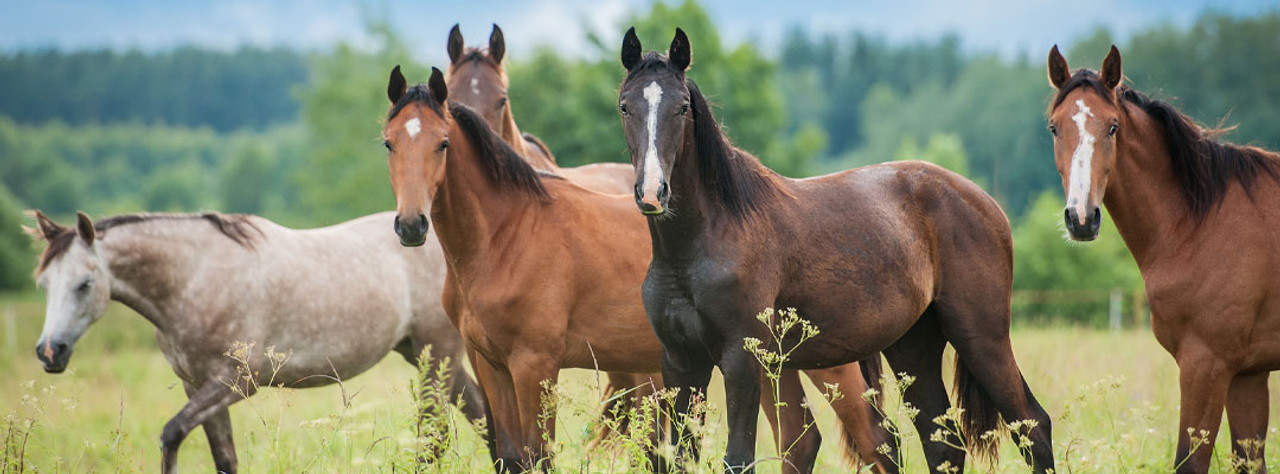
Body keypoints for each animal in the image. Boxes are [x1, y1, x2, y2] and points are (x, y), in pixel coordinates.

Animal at [25, 210, 483, 474]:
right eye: (44, 284)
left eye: (84, 284)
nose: (50, 352)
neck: (195, 276)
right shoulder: (197, 385)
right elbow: (223, 458)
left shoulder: (236, 383)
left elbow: (171, 434)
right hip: (427, 355)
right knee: (479, 414)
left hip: (436, 355)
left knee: (435, 436)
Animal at [382, 66, 899, 473]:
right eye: (388, 144)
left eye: (442, 143)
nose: (410, 225)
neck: (506, 235)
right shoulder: (490, 365)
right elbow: (511, 456)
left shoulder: (534, 366)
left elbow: (538, 456)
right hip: (774, 362)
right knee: (800, 438)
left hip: (831, 367)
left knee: (878, 441)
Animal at [617, 28, 1055, 473]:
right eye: (625, 106)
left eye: (682, 106)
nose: (652, 192)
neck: (698, 246)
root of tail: (986, 203)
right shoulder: (680, 363)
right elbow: (677, 455)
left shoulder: (741, 360)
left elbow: (738, 458)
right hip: (914, 349)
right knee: (942, 444)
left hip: (982, 336)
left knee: (1033, 426)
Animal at [1046, 45, 1280, 473]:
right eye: (1055, 128)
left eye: (1113, 127)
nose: (1082, 218)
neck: (1198, 222)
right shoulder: (1249, 376)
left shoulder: (1205, 367)